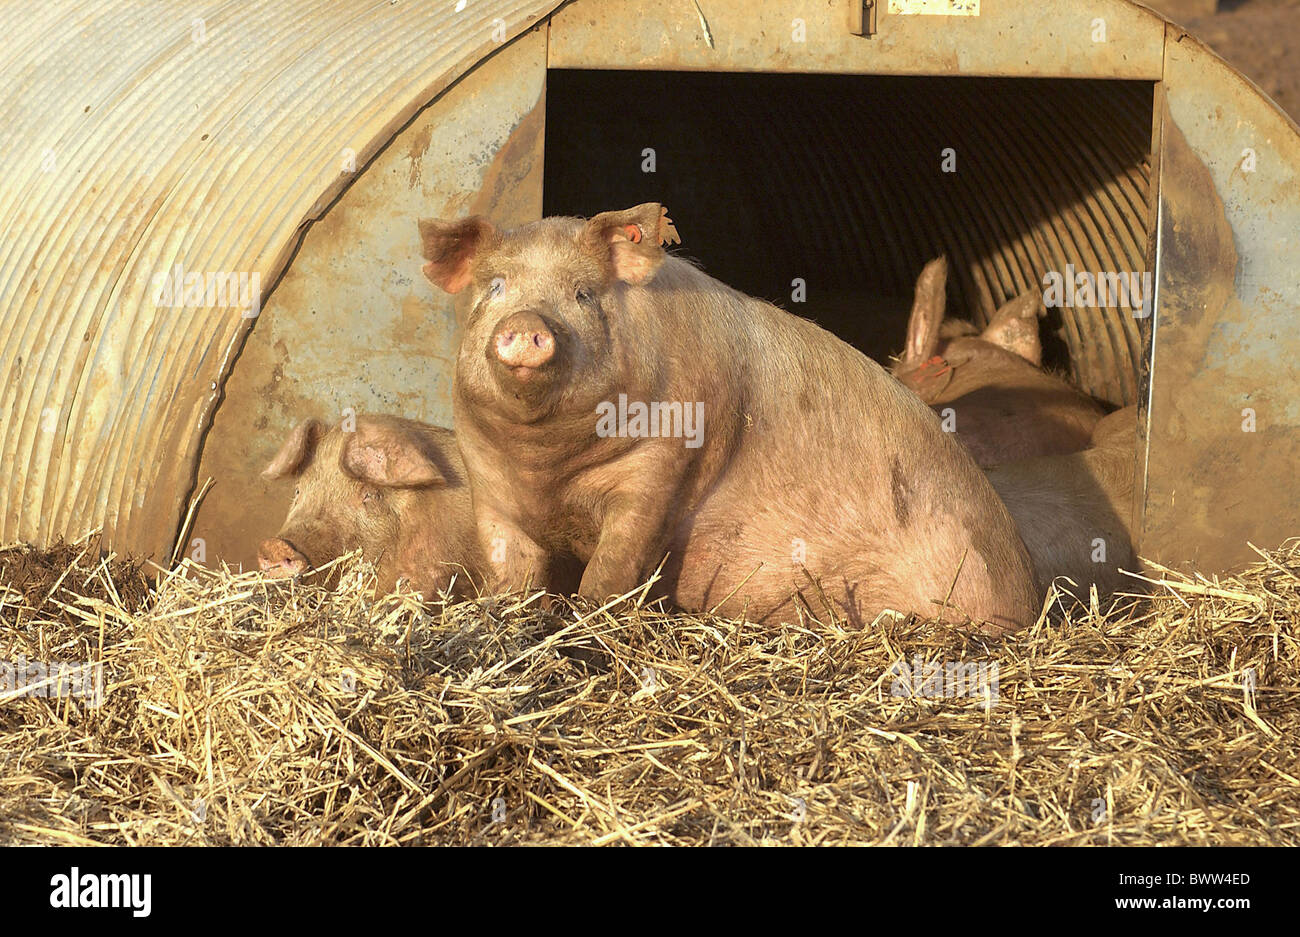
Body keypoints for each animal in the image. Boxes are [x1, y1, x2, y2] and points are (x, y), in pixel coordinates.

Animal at [417, 203, 1039, 635]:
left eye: (584, 295)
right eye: (495, 287)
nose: (526, 322)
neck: (547, 466)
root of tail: (1030, 593)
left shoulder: (664, 464)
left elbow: (618, 559)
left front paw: (588, 615)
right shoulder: (491, 484)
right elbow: (511, 567)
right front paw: (510, 613)